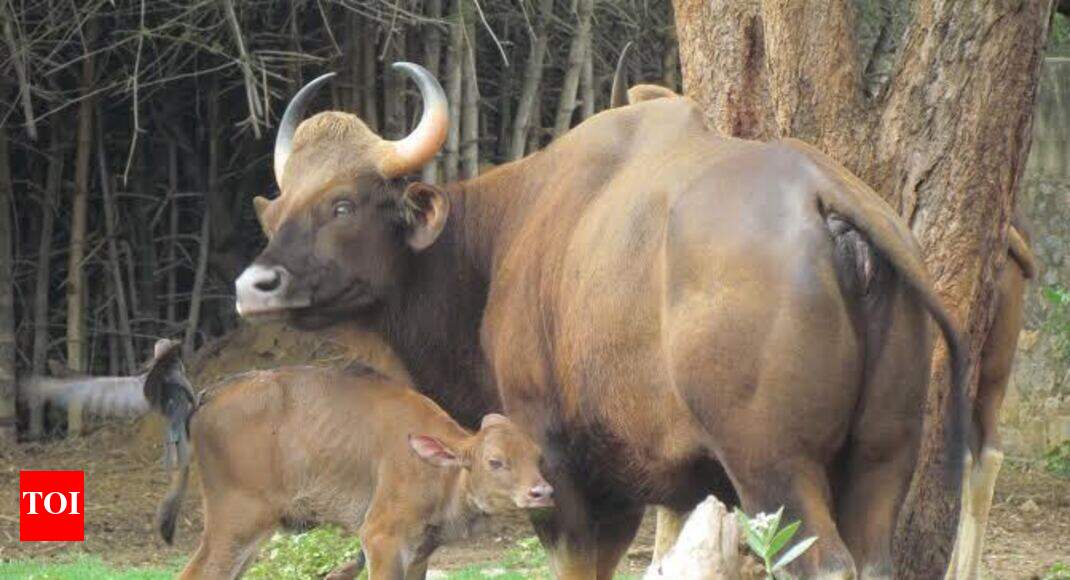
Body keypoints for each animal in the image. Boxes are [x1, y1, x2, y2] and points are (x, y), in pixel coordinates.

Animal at [144, 341, 553, 580]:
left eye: (537, 457)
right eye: (495, 461)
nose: (542, 492)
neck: (442, 469)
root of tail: (206, 399)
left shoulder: (420, 552)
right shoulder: (381, 539)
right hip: (237, 522)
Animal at [233, 62, 968, 579]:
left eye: (343, 204)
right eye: (277, 212)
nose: (254, 285)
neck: (499, 241)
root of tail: (826, 196)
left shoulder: (555, 467)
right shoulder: (624, 487)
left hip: (775, 467)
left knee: (823, 563)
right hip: (883, 454)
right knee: (874, 558)